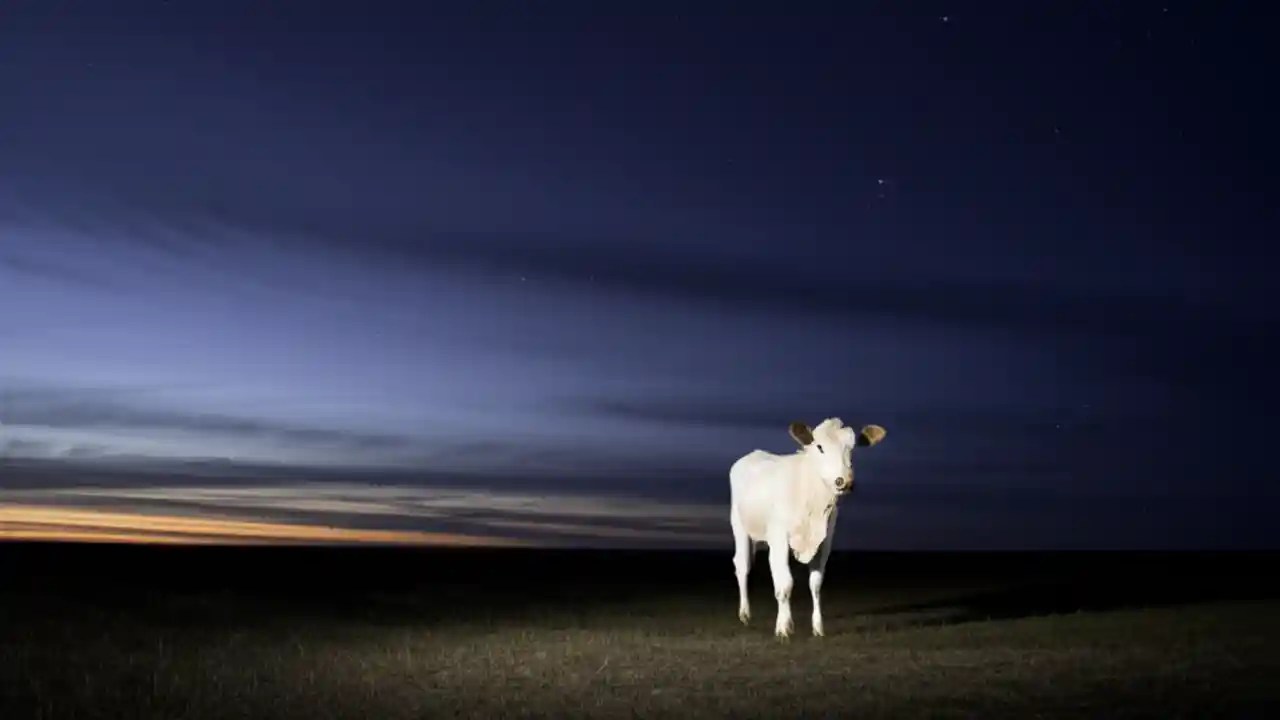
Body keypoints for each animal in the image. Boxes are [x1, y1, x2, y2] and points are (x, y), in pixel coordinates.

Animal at [728, 417, 887, 638]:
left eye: (852, 448)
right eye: (819, 447)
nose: (844, 481)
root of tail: (753, 454)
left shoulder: (825, 541)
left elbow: (816, 584)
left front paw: (818, 627)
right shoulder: (779, 538)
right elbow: (785, 583)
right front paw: (784, 627)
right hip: (739, 525)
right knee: (742, 565)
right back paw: (745, 613)